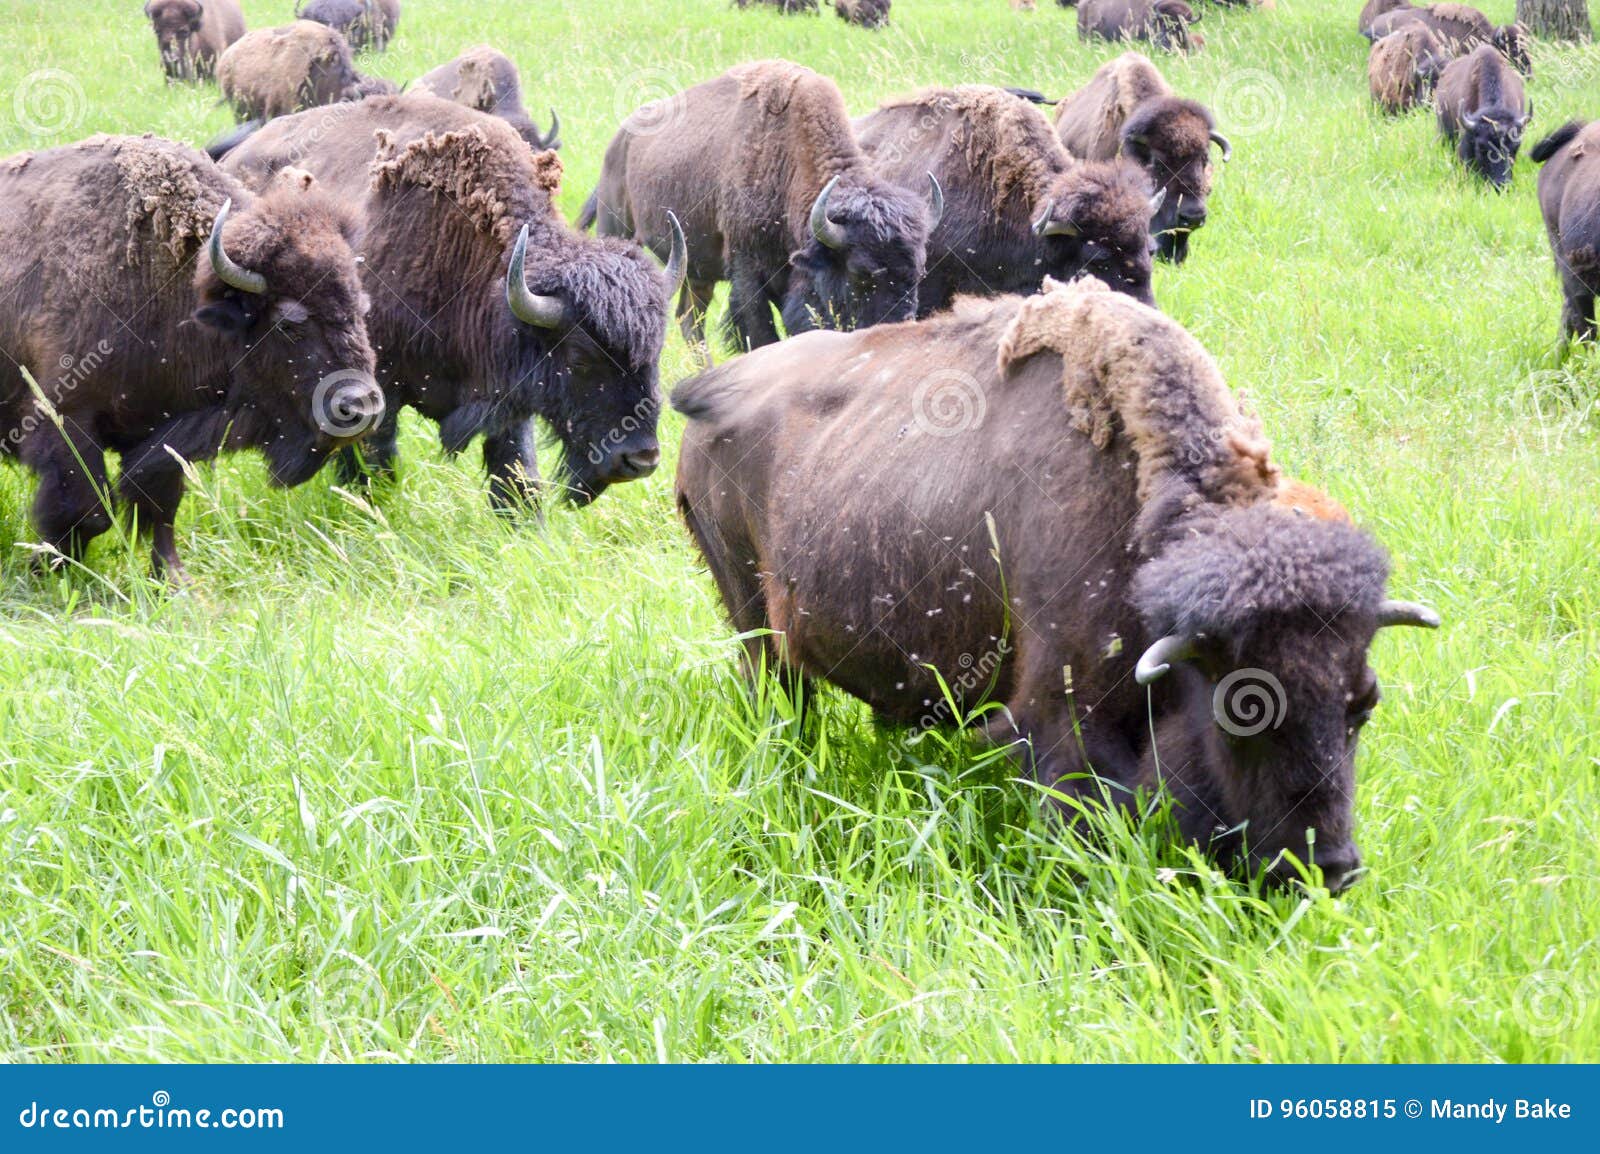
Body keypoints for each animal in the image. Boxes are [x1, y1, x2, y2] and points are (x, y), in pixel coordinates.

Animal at [0, 135, 380, 576]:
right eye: (288, 323)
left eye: (361, 309)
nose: (361, 408)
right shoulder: (67, 416)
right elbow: (87, 510)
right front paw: (47, 568)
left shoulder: (165, 429)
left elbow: (161, 506)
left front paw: (172, 578)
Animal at [221, 94, 684, 507]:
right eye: (582, 356)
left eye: (655, 352)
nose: (640, 459)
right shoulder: (376, 386)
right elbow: (378, 461)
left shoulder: (507, 394)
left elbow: (518, 475)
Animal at [580, 60, 938, 351]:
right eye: (861, 273)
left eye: (920, 271)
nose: (897, 329)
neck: (787, 160)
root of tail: (619, 142)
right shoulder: (748, 271)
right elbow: (762, 334)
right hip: (619, 230)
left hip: (695, 267)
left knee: (689, 321)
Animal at [674, 277, 1439, 893]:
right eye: (1241, 710)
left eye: (1364, 704)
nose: (1328, 870)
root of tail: (710, 390)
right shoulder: (1063, 720)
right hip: (756, 630)